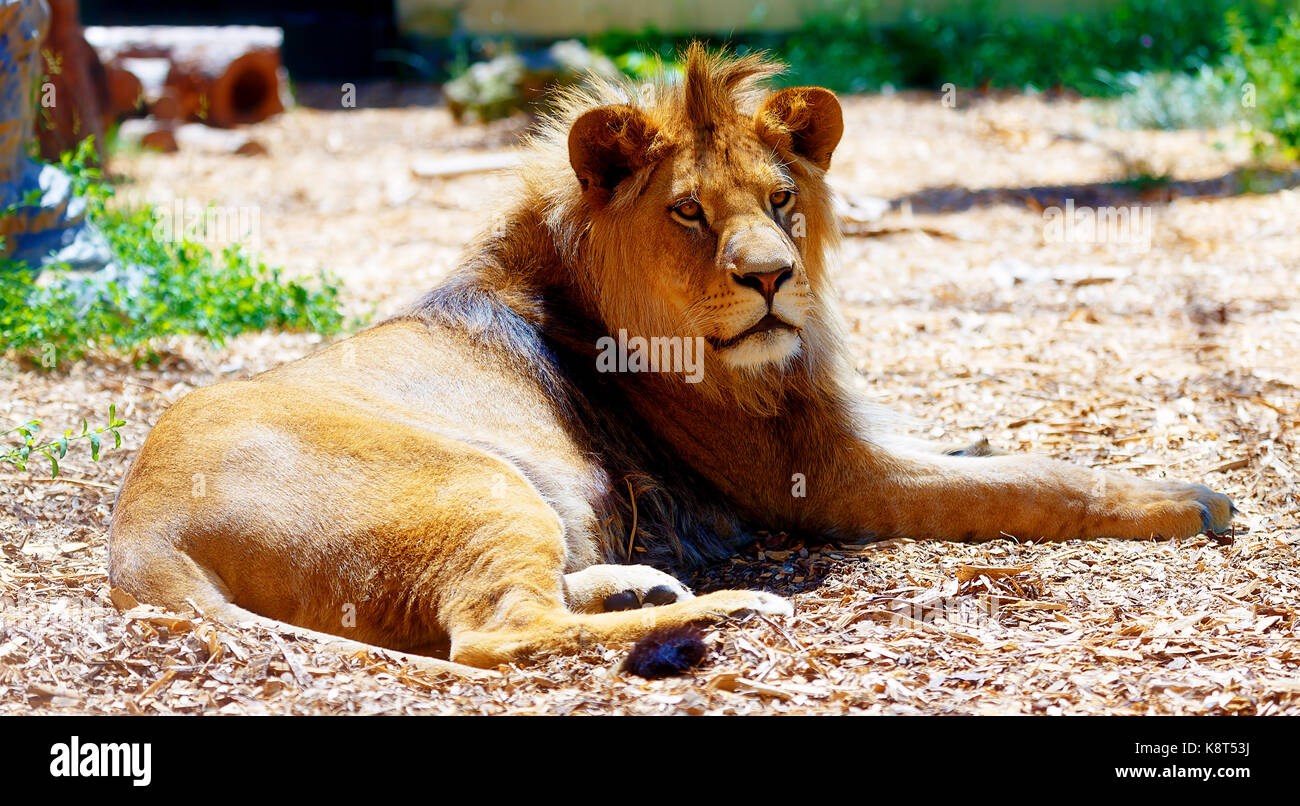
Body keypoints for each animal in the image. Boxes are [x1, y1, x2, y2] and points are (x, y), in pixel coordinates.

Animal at [107, 45, 1233, 675]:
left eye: (781, 199)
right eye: (690, 212)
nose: (774, 276)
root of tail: (138, 535)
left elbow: (978, 449)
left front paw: (978, 430)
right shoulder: (829, 478)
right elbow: (1033, 481)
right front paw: (1187, 496)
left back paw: (642, 590)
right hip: (471, 478)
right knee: (496, 635)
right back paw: (729, 609)